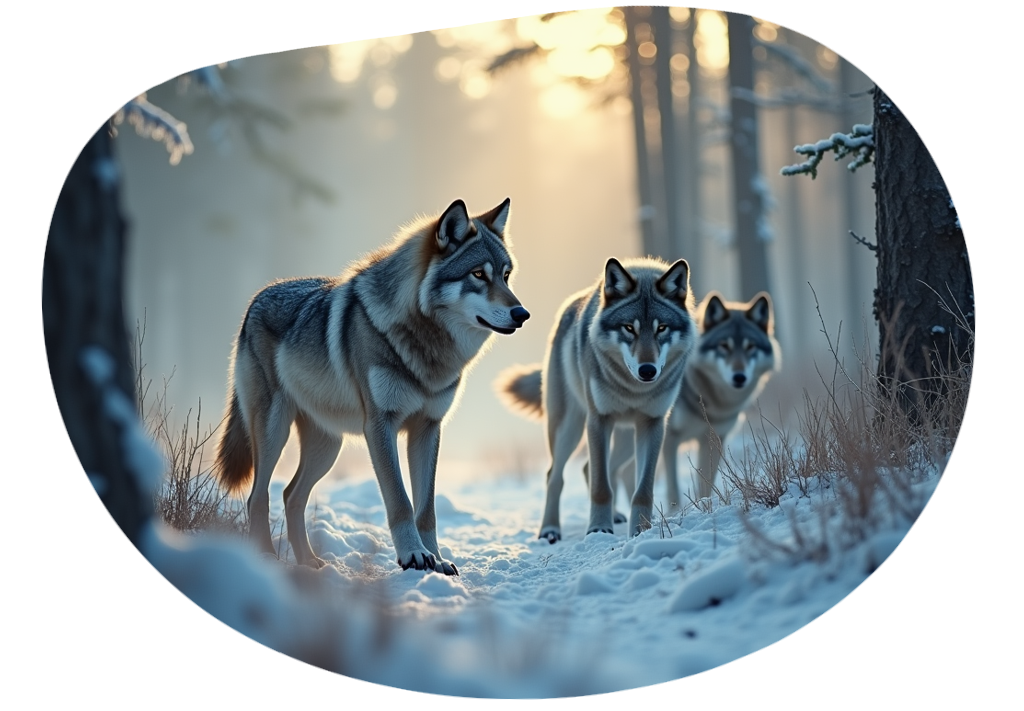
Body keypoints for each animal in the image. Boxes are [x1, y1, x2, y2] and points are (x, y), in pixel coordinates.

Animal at [213, 198, 529, 575]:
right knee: (258, 497)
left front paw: (437, 560)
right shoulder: (380, 425)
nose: (522, 314)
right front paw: (414, 556)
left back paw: (310, 562)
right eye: (478, 274)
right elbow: (401, 501)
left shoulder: (428, 428)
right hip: (274, 431)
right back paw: (266, 558)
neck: (426, 346)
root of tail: (257, 298)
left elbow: (427, 510)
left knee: (291, 496)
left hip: (327, 447)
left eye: (506, 276)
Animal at [496, 257, 697, 543]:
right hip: (568, 429)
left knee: (594, 468)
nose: (647, 371)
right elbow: (601, 487)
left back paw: (616, 515)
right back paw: (549, 530)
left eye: (661, 328)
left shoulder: (653, 424)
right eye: (629, 328)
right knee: (555, 475)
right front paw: (599, 530)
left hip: (625, 439)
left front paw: (641, 531)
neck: (632, 390)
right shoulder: (598, 420)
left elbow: (642, 490)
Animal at [610, 291, 781, 508]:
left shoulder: (713, 440)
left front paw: (704, 506)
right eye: (724, 346)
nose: (739, 377)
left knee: (622, 472)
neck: (711, 401)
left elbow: (705, 485)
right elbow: (673, 491)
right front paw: (675, 512)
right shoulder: (670, 439)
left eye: (750, 346)